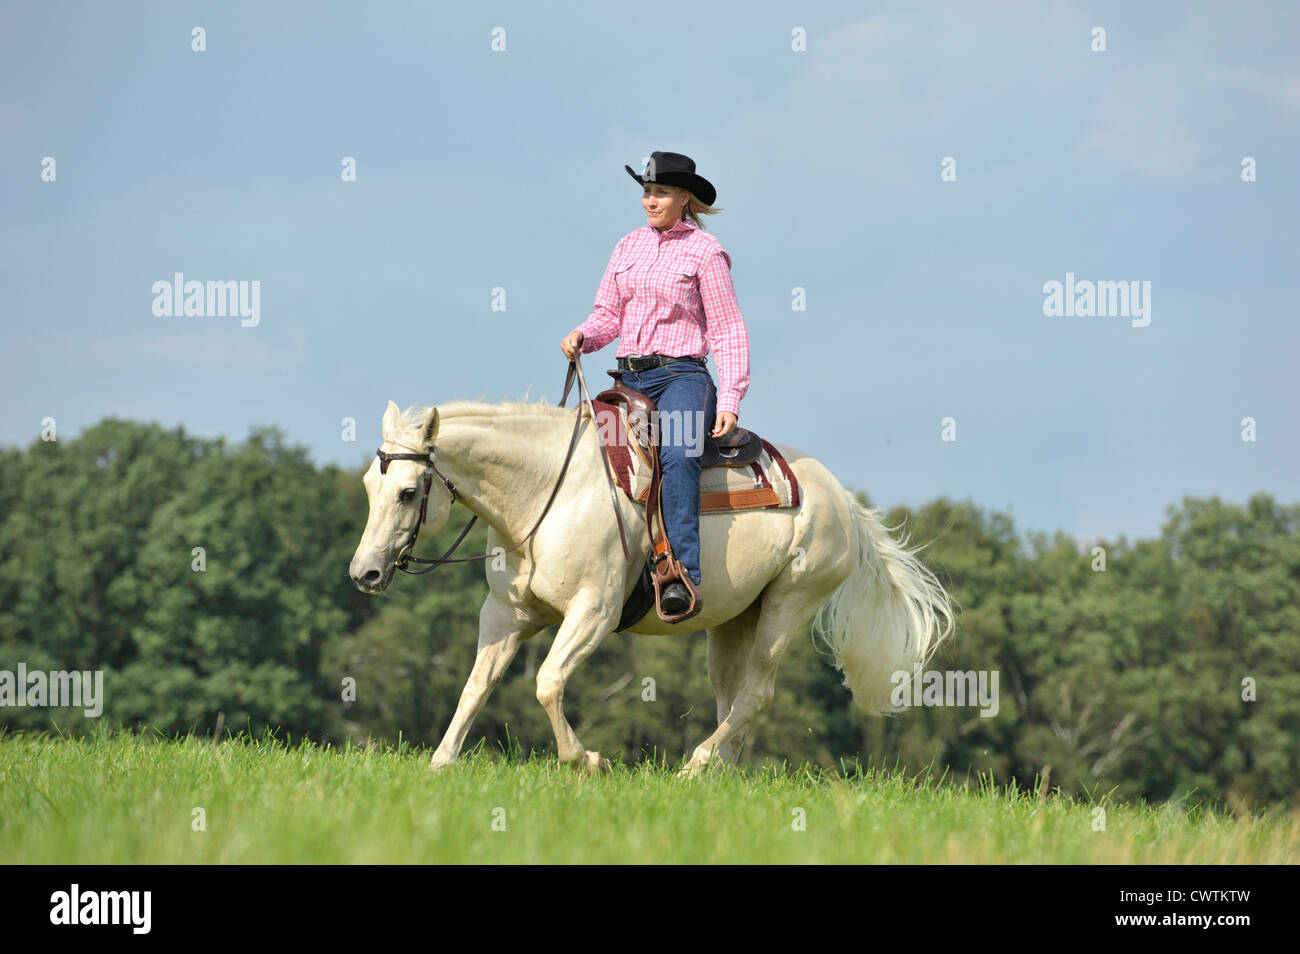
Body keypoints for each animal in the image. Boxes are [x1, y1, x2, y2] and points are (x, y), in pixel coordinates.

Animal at [348, 393, 954, 777]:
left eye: (408, 491)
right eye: (368, 486)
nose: (365, 573)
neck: (548, 492)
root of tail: (843, 500)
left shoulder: (592, 614)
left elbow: (546, 682)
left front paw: (588, 761)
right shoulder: (505, 615)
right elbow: (477, 685)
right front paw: (441, 762)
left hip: (789, 605)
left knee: (756, 692)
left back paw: (696, 766)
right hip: (734, 621)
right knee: (733, 696)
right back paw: (720, 773)